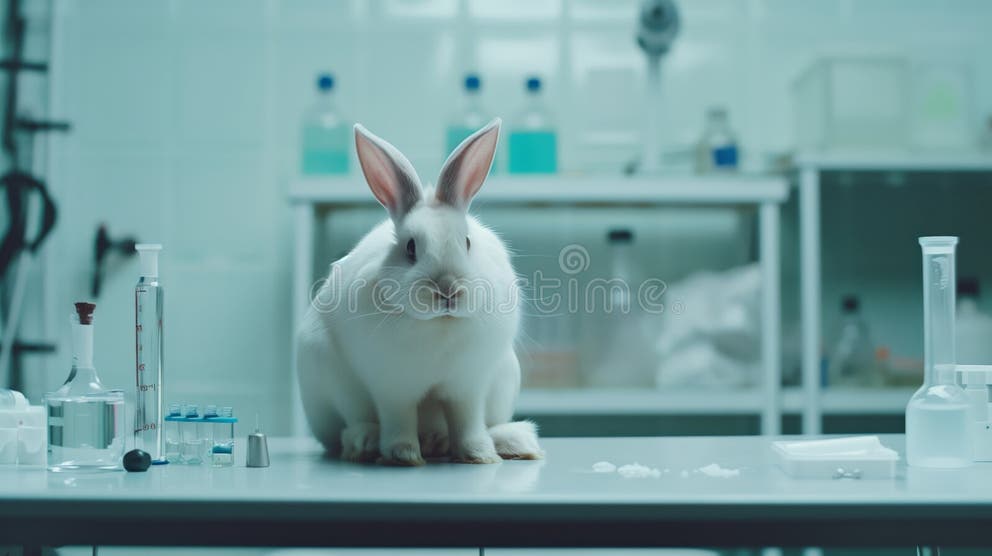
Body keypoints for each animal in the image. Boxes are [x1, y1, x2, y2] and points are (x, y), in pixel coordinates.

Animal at [296, 118, 542, 466]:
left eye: (467, 242)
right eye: (411, 248)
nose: (448, 289)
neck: (439, 324)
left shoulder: (468, 385)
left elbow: (468, 423)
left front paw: (480, 455)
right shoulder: (393, 387)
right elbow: (399, 421)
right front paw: (403, 455)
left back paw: (506, 442)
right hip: (329, 377)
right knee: (352, 426)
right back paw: (367, 443)